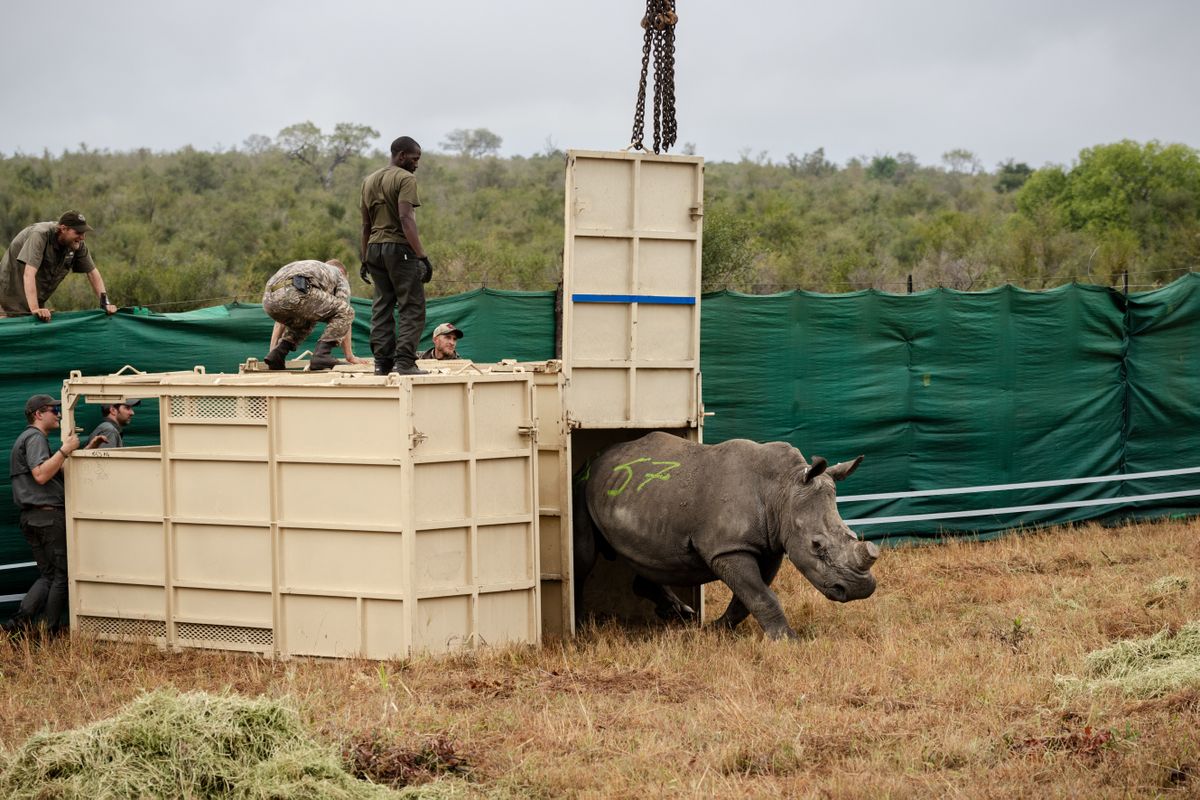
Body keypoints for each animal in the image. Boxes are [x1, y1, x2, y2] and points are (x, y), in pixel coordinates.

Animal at [574, 431, 878, 640]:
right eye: (816, 545)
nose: (858, 590)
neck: (782, 489)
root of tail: (598, 456)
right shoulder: (729, 548)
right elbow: (759, 594)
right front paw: (788, 640)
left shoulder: (769, 546)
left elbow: (749, 596)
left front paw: (717, 630)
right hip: (581, 484)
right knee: (583, 558)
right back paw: (578, 628)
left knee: (650, 557)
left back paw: (681, 614)